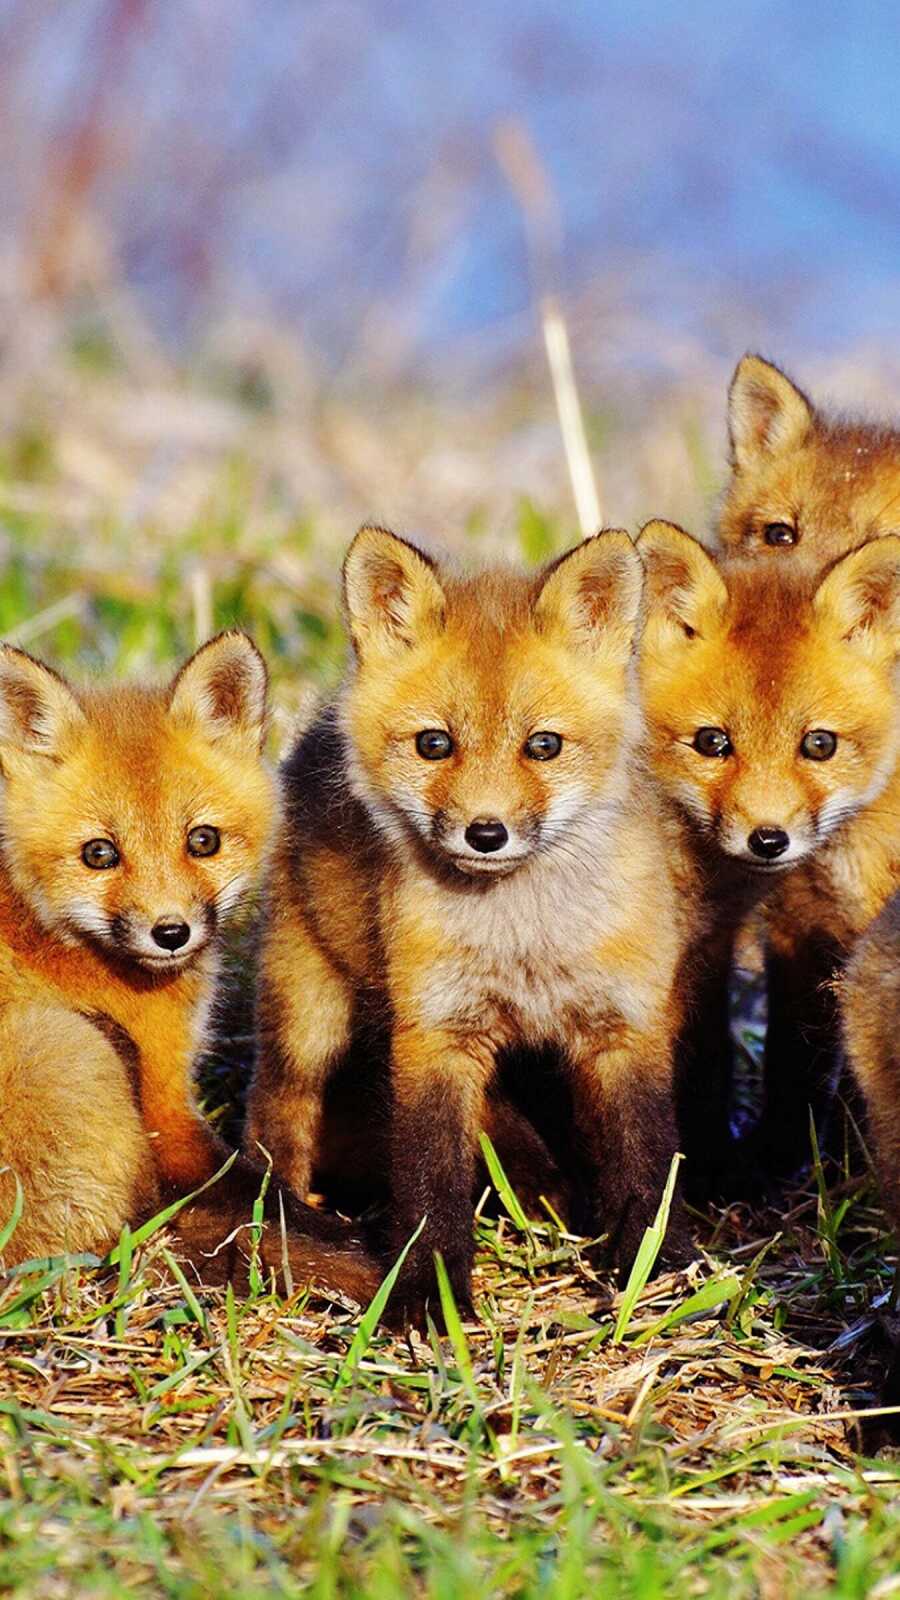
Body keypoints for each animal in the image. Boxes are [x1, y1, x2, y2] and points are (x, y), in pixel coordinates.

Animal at [0, 631, 378, 1303]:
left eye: (203, 841)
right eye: (99, 853)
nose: (171, 933)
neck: (56, 931)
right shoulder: (166, 1107)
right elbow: (260, 1188)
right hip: (69, 1044)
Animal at [246, 523, 700, 1326]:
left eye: (543, 745)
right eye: (435, 744)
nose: (486, 834)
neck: (525, 943)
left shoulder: (627, 1026)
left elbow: (645, 1155)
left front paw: (654, 1268)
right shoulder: (434, 1035)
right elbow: (431, 1181)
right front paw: (433, 1296)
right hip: (310, 1010)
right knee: (275, 1109)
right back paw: (288, 1215)